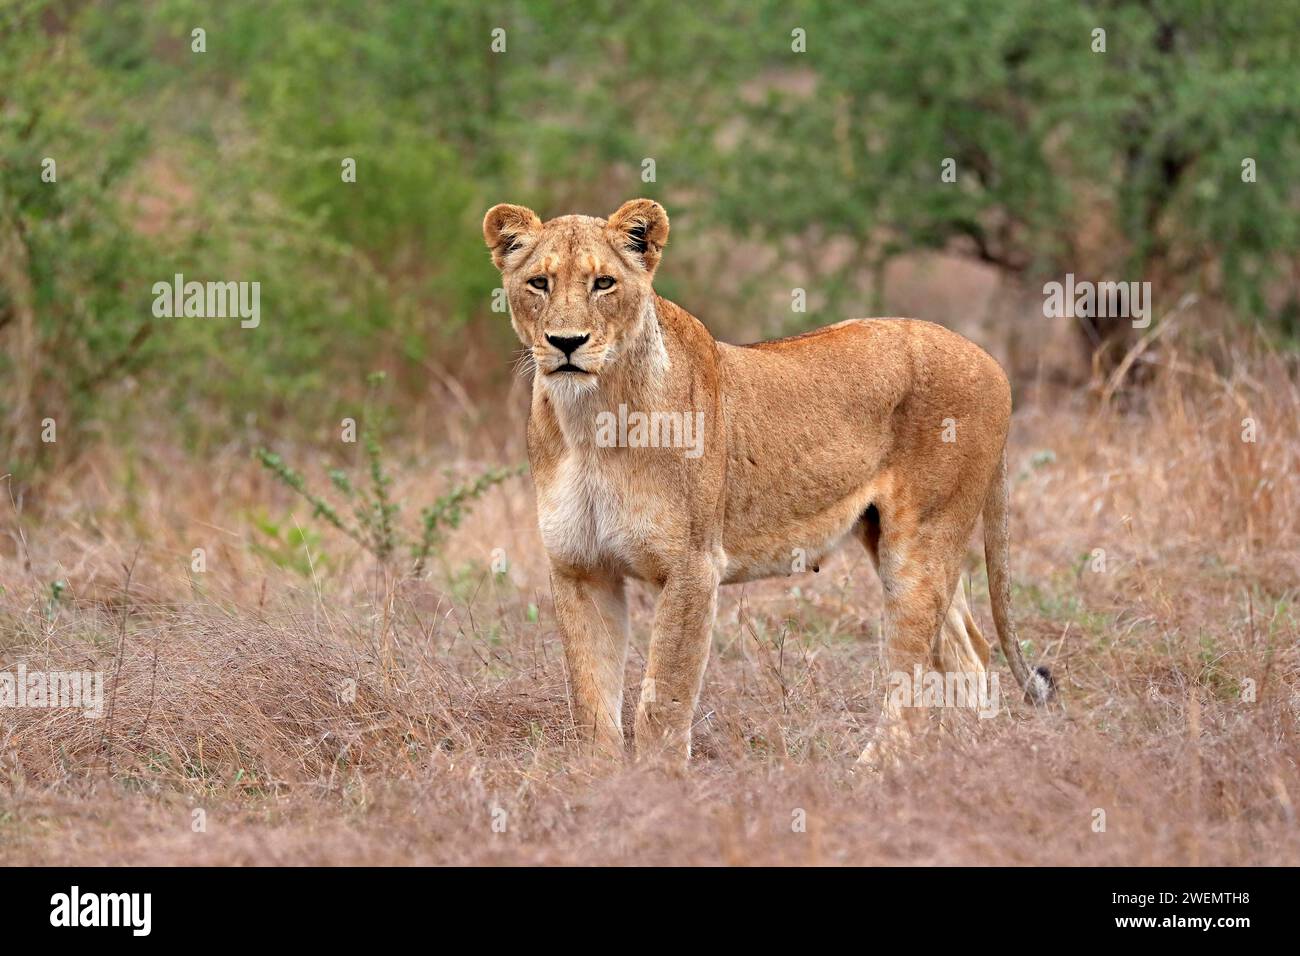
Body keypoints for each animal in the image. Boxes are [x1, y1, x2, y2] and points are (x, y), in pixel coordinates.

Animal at [483, 198, 1051, 767]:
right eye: (538, 283)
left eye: (603, 283)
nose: (566, 343)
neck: (589, 420)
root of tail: (990, 361)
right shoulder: (581, 568)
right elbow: (591, 701)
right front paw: (601, 781)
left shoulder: (692, 567)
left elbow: (662, 703)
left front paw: (657, 783)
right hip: (899, 541)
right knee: (967, 651)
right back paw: (971, 758)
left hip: (922, 541)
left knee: (913, 670)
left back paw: (874, 771)